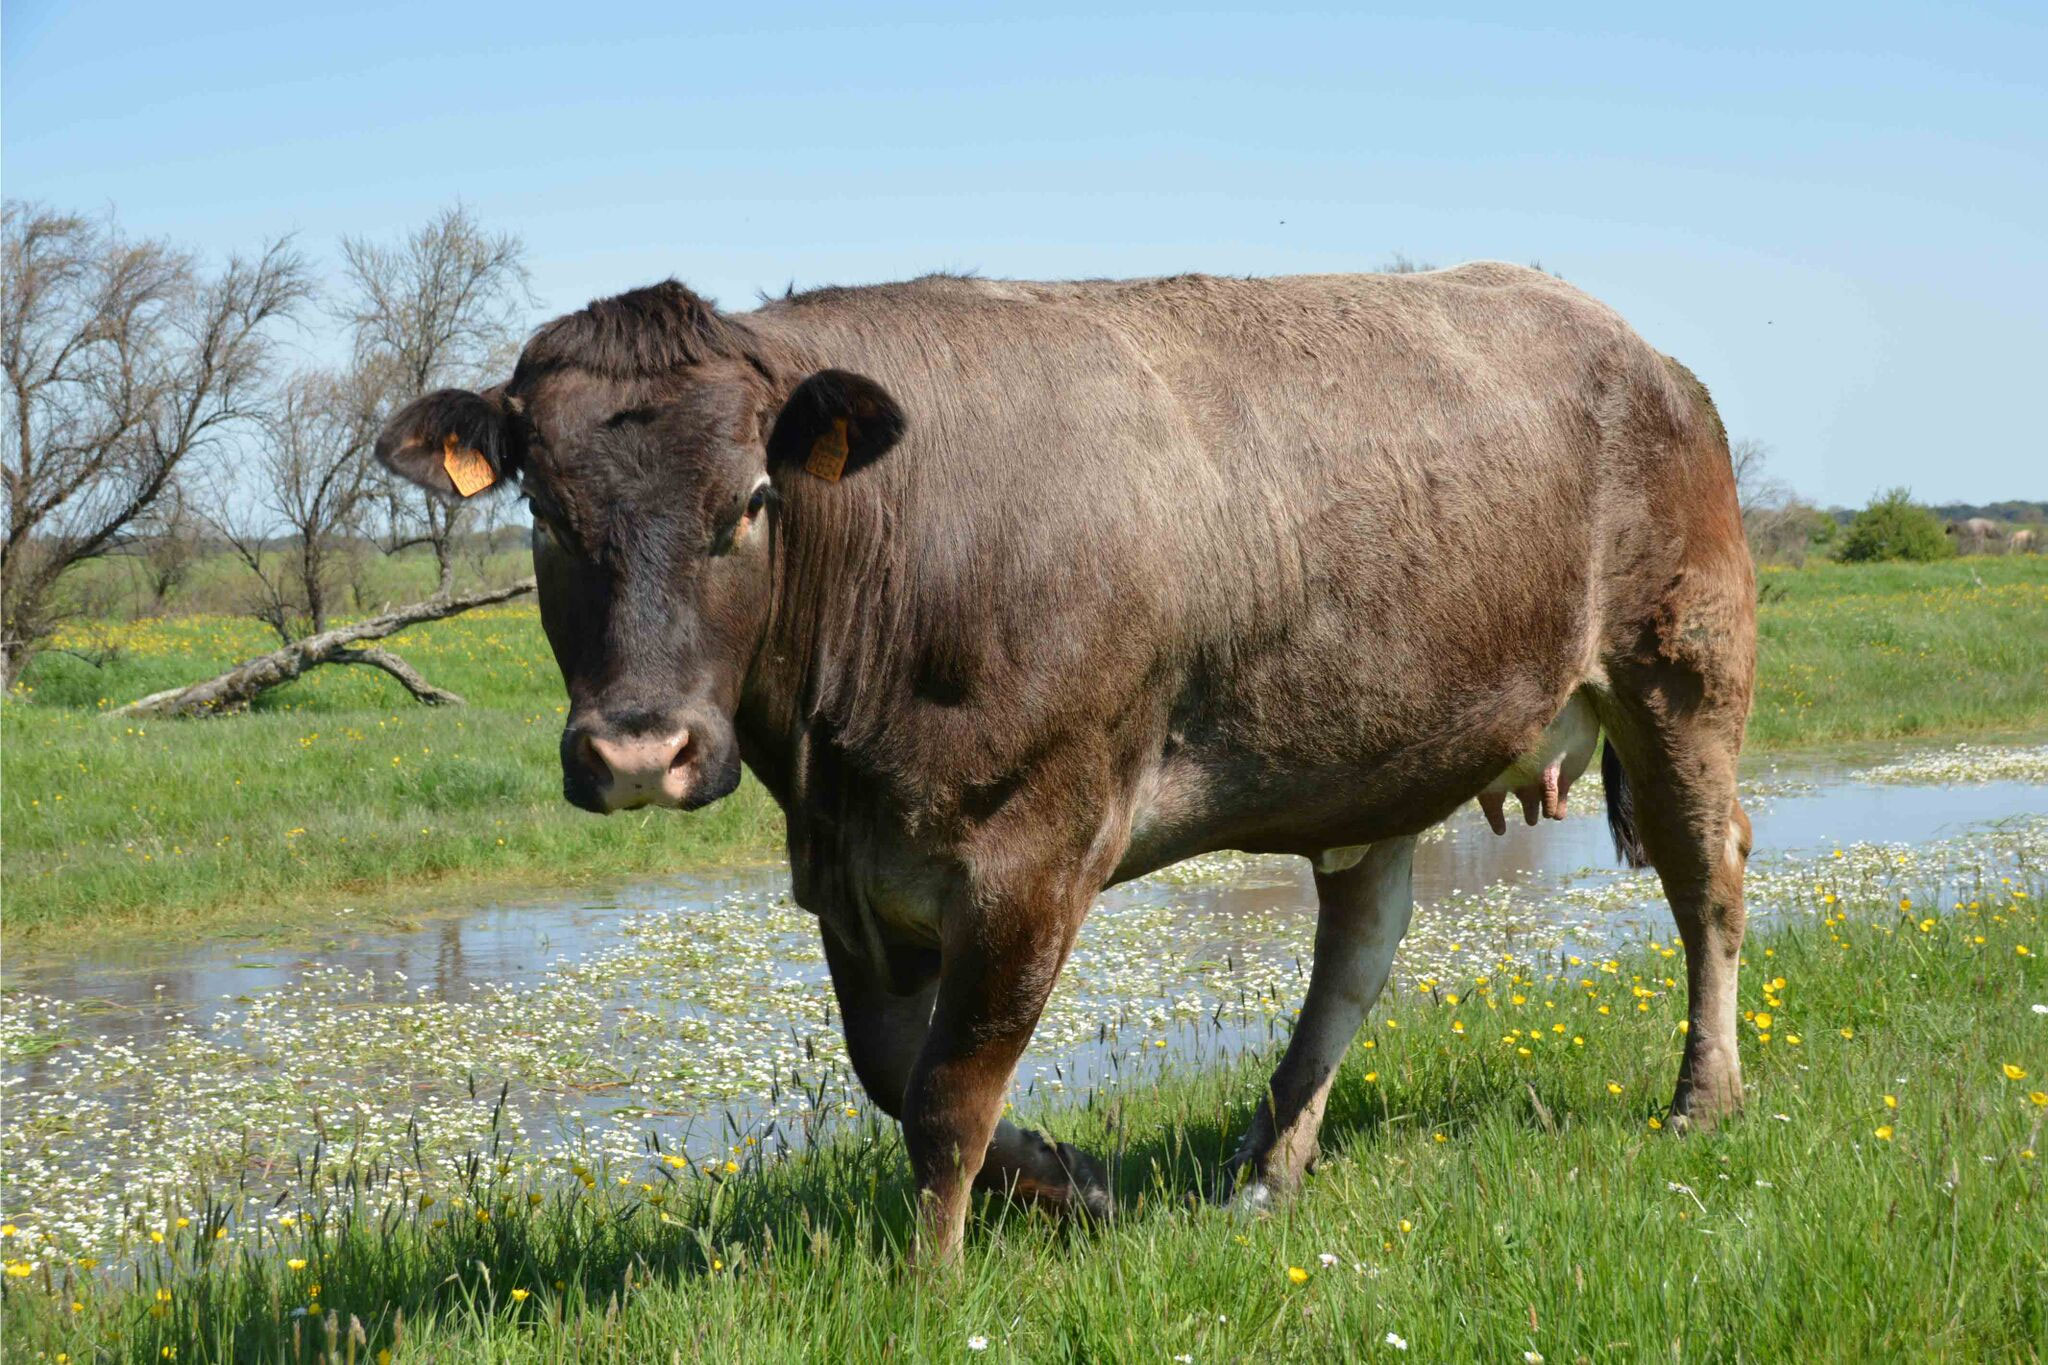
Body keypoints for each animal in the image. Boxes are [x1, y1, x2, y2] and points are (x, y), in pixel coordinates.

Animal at [375, 264, 1756, 1262]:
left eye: (750, 502)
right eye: (545, 513)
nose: (637, 750)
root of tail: (1636, 346)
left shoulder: (1030, 854)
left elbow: (948, 1091)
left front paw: (928, 1281)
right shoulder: (855, 880)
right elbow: (890, 1074)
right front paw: (1073, 1186)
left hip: (1680, 671)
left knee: (1707, 881)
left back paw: (1700, 1100)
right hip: (1380, 755)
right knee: (1357, 954)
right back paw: (1265, 1175)